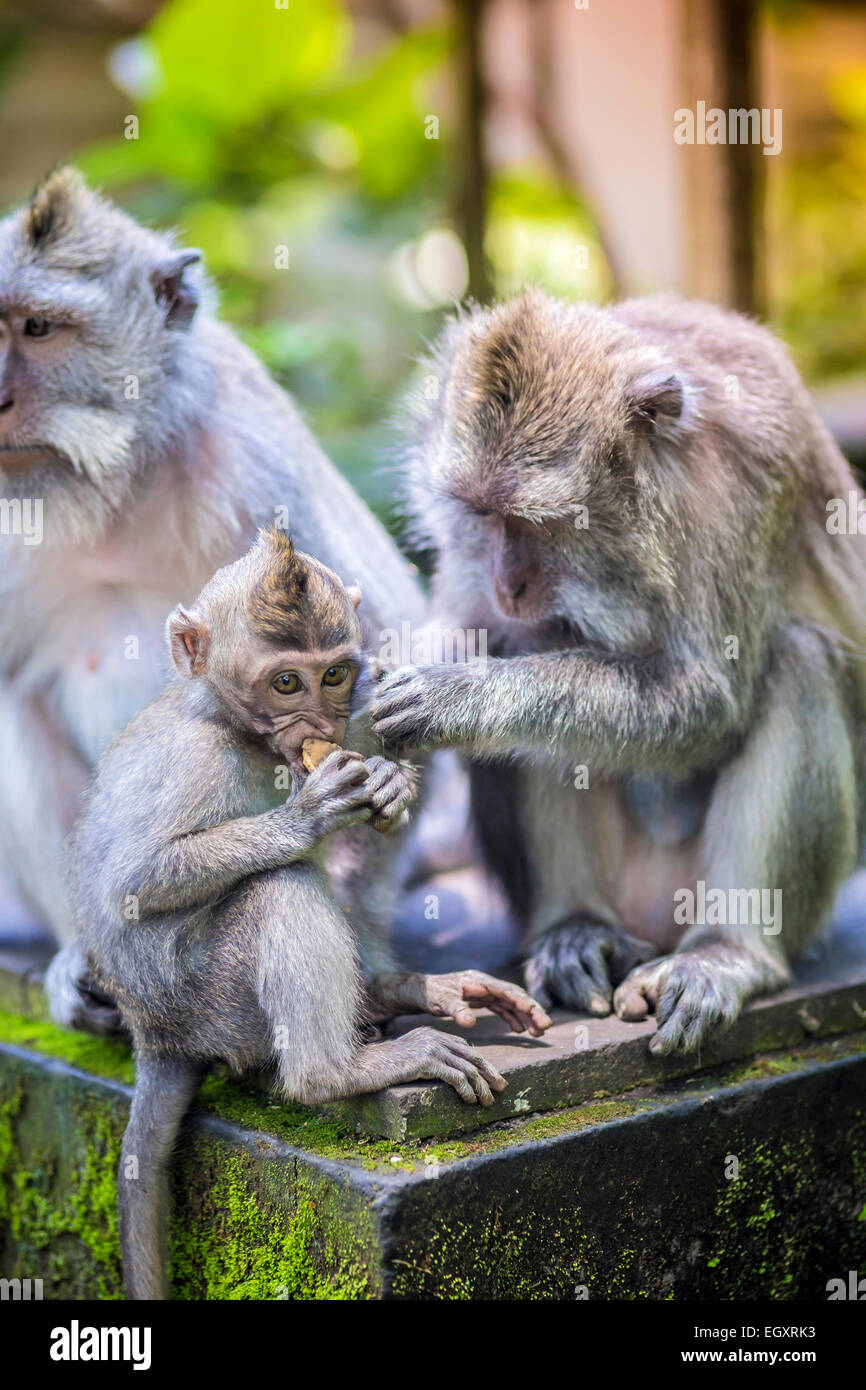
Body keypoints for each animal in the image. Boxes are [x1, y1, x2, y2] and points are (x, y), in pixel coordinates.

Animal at [72, 527, 550, 1301]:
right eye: (286, 682)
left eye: (333, 676)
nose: (319, 722)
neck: (243, 733)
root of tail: (155, 1036)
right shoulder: (198, 758)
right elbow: (137, 879)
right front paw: (311, 811)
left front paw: (388, 782)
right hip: (208, 1003)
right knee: (281, 885)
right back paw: (336, 1070)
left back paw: (396, 993)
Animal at [371, 288, 866, 1056]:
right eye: (481, 516)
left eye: (537, 523)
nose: (508, 583)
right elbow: (469, 624)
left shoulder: (744, 492)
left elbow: (707, 705)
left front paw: (459, 697)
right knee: (531, 643)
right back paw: (576, 928)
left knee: (799, 662)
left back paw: (727, 950)